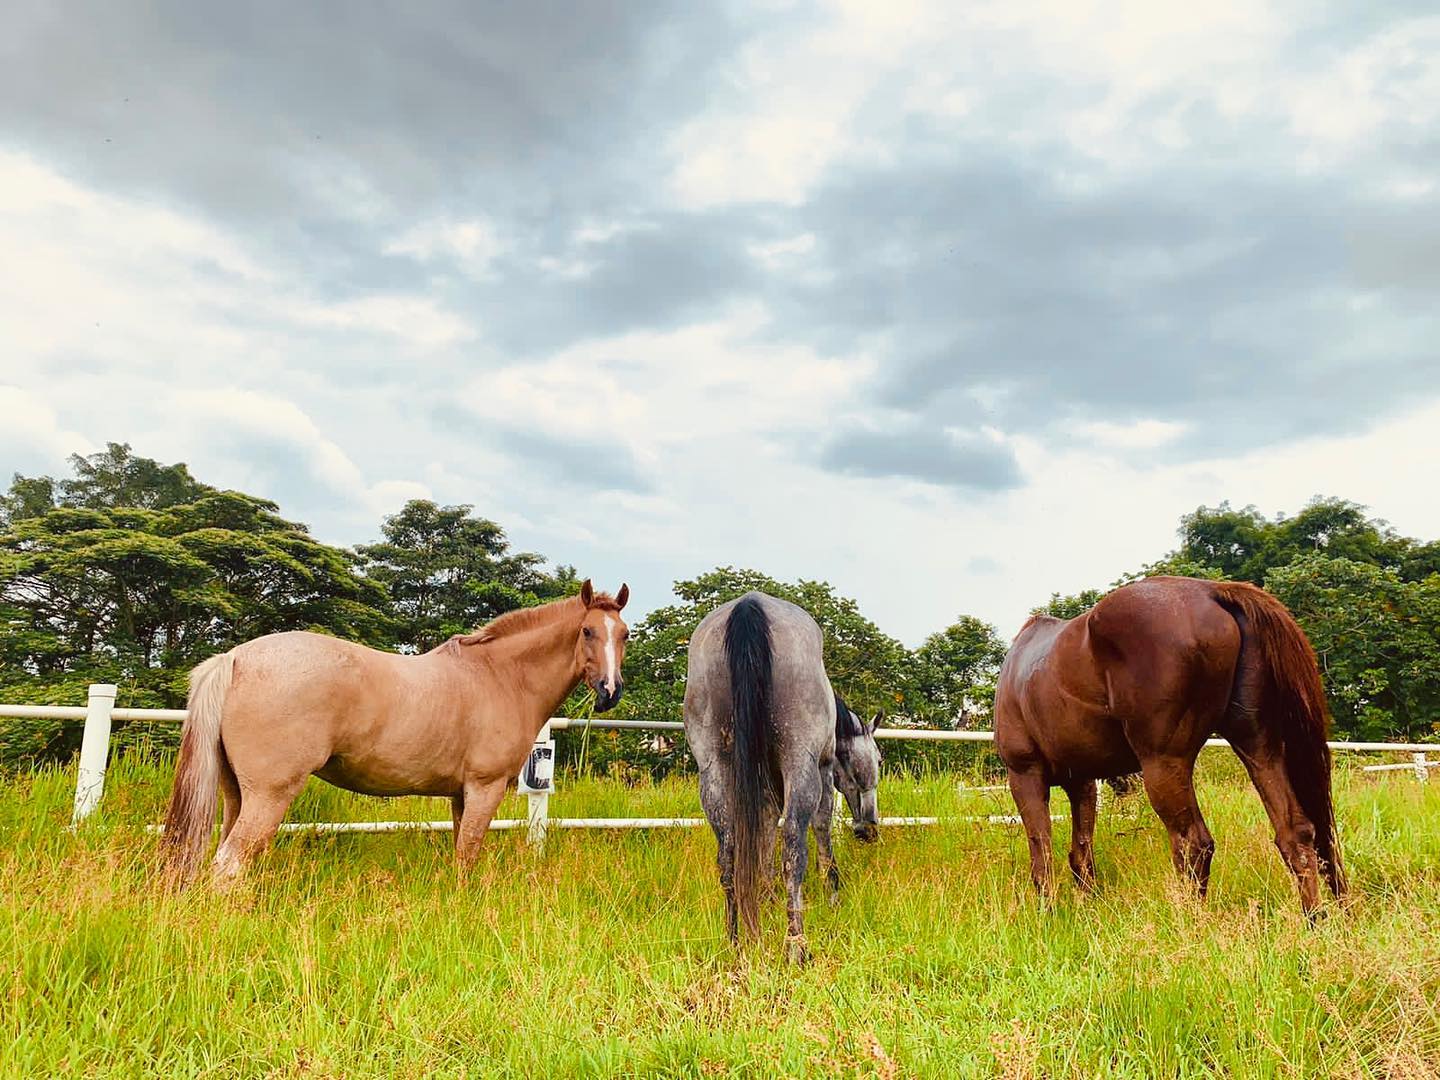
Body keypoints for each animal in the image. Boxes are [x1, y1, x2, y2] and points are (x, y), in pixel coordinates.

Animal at [161, 581, 629, 885]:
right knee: (230, 863)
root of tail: (235, 658)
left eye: (624, 635)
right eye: (587, 631)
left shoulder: (461, 795)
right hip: (269, 795)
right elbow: (468, 857)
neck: (499, 677)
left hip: (236, 793)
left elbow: (460, 851)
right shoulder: (485, 788)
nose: (610, 691)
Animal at [684, 591, 882, 963]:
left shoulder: (762, 795)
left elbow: (762, 839)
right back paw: (796, 944)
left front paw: (765, 897)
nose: (870, 828)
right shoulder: (822, 770)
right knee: (793, 846)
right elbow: (820, 831)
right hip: (799, 766)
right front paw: (833, 895)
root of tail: (748, 607)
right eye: (879, 758)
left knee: (728, 853)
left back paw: (736, 940)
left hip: (713, 771)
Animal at [994, 576, 1344, 917]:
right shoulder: (1081, 782)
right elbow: (1081, 852)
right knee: (1295, 832)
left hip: (1164, 764)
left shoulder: (1025, 774)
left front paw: (1047, 913)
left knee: (1193, 843)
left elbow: (1041, 850)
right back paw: (1315, 919)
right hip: (1258, 748)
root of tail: (1212, 590)